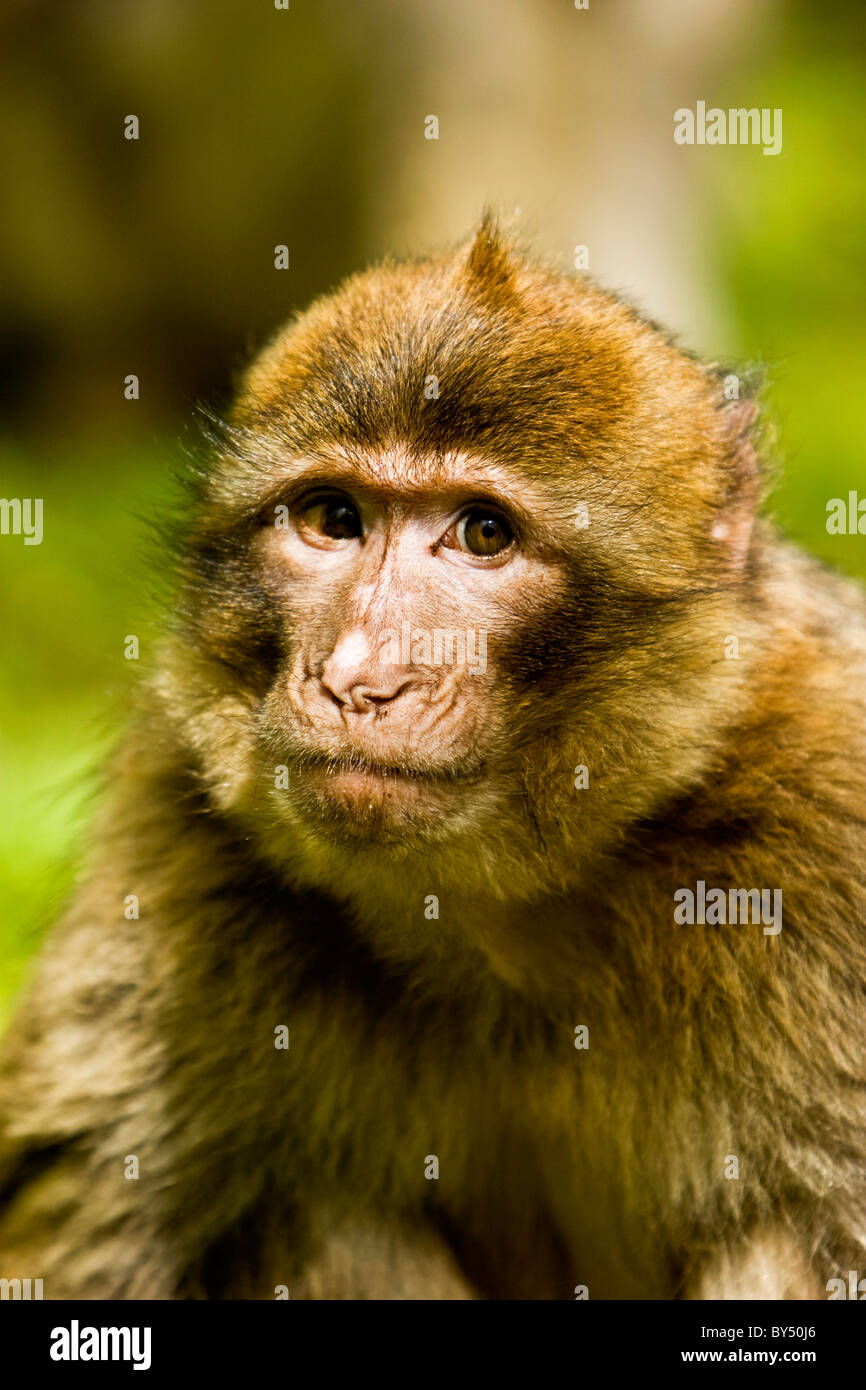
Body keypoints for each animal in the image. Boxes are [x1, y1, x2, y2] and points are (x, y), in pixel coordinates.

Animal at [0, 213, 864, 1301]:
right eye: (332, 519)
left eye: (482, 533)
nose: (357, 680)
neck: (504, 918)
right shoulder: (178, 821)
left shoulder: (828, 822)